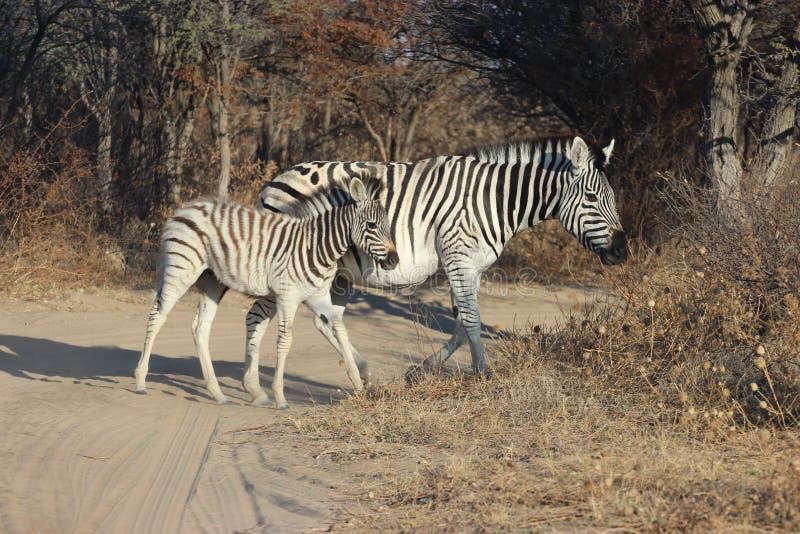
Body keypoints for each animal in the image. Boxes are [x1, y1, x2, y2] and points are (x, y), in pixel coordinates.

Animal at [133, 175, 399, 407]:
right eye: (372, 225)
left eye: (388, 226)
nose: (394, 260)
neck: (316, 246)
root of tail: (186, 208)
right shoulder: (287, 297)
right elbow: (285, 341)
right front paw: (280, 397)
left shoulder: (319, 297)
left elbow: (340, 330)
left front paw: (358, 383)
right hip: (182, 270)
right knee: (157, 315)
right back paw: (140, 380)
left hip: (211, 282)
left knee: (200, 328)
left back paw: (217, 393)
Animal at [251, 135, 628, 380]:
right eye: (592, 198)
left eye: (611, 197)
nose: (623, 252)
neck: (493, 199)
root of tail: (274, 180)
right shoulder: (458, 257)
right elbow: (472, 321)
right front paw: (483, 374)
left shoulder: (473, 267)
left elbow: (462, 323)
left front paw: (423, 370)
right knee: (264, 314)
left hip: (337, 273)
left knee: (325, 319)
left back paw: (362, 371)